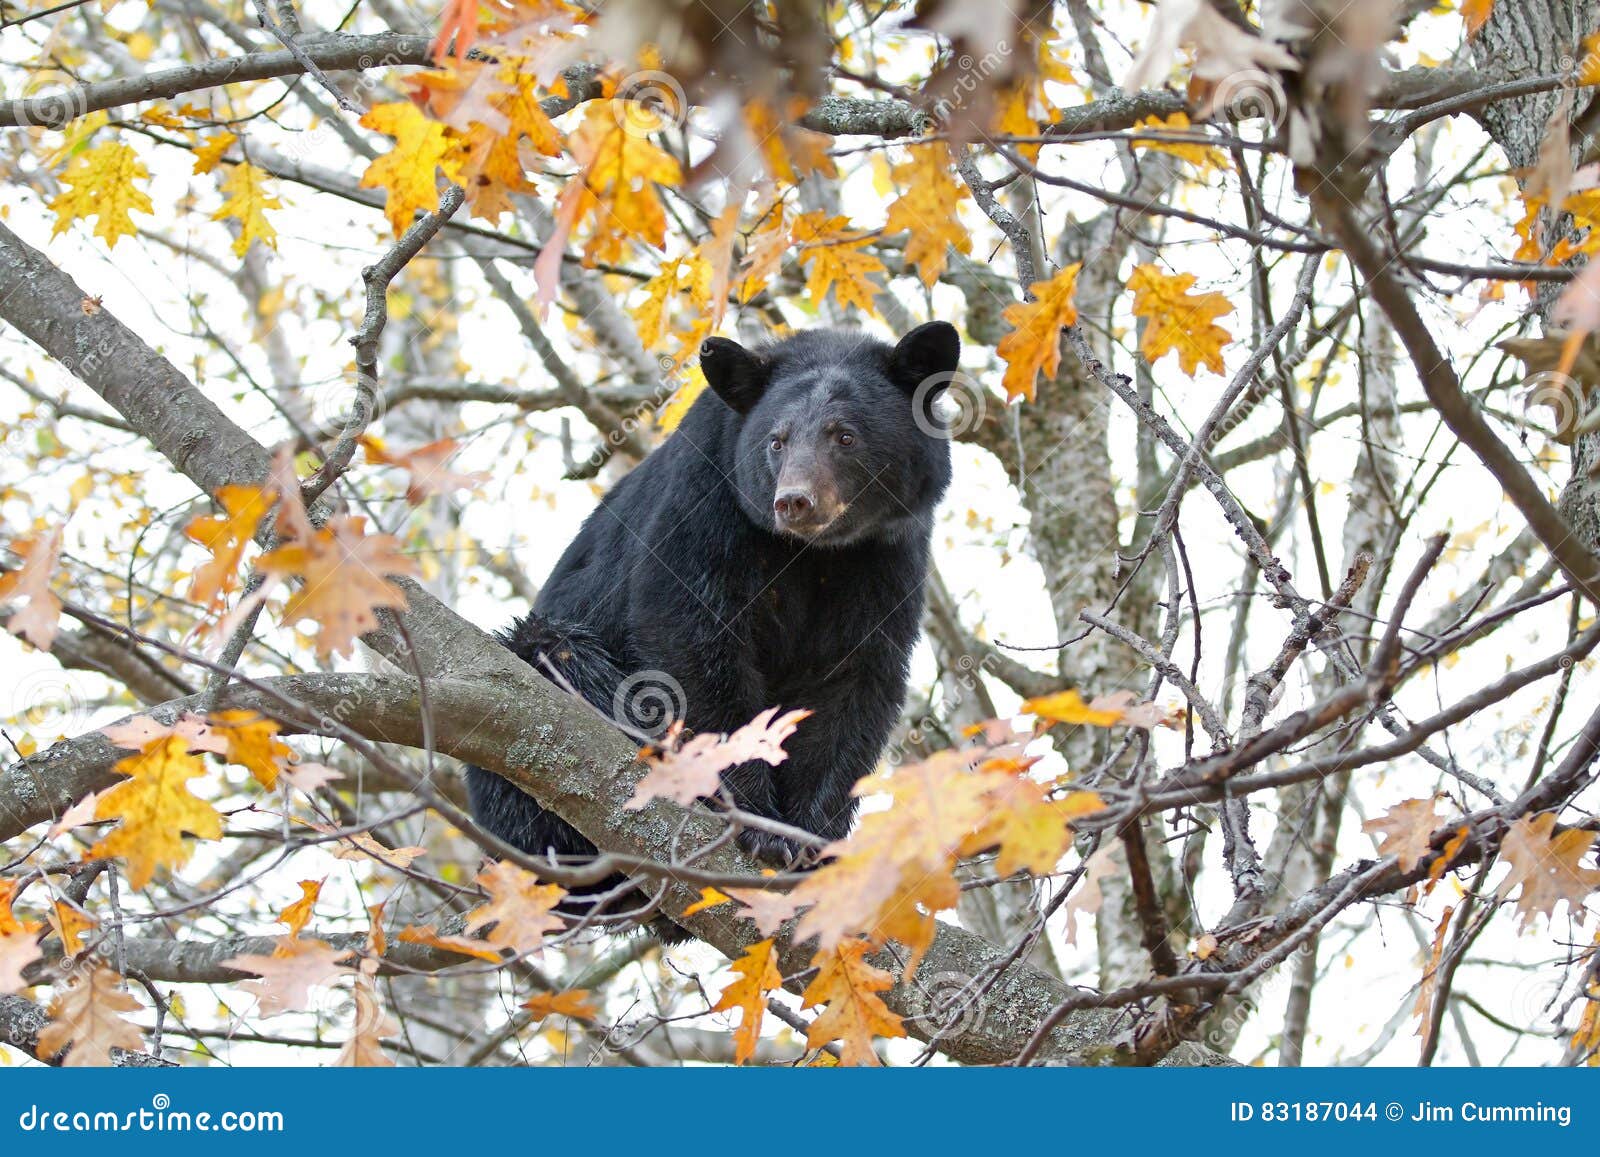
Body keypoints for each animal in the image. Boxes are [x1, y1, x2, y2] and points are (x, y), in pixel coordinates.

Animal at [465, 322, 959, 936]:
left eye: (844, 436)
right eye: (776, 440)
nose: (794, 501)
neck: (810, 553)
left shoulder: (887, 556)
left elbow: (854, 680)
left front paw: (814, 839)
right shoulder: (707, 501)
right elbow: (691, 638)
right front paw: (758, 823)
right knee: (561, 662)